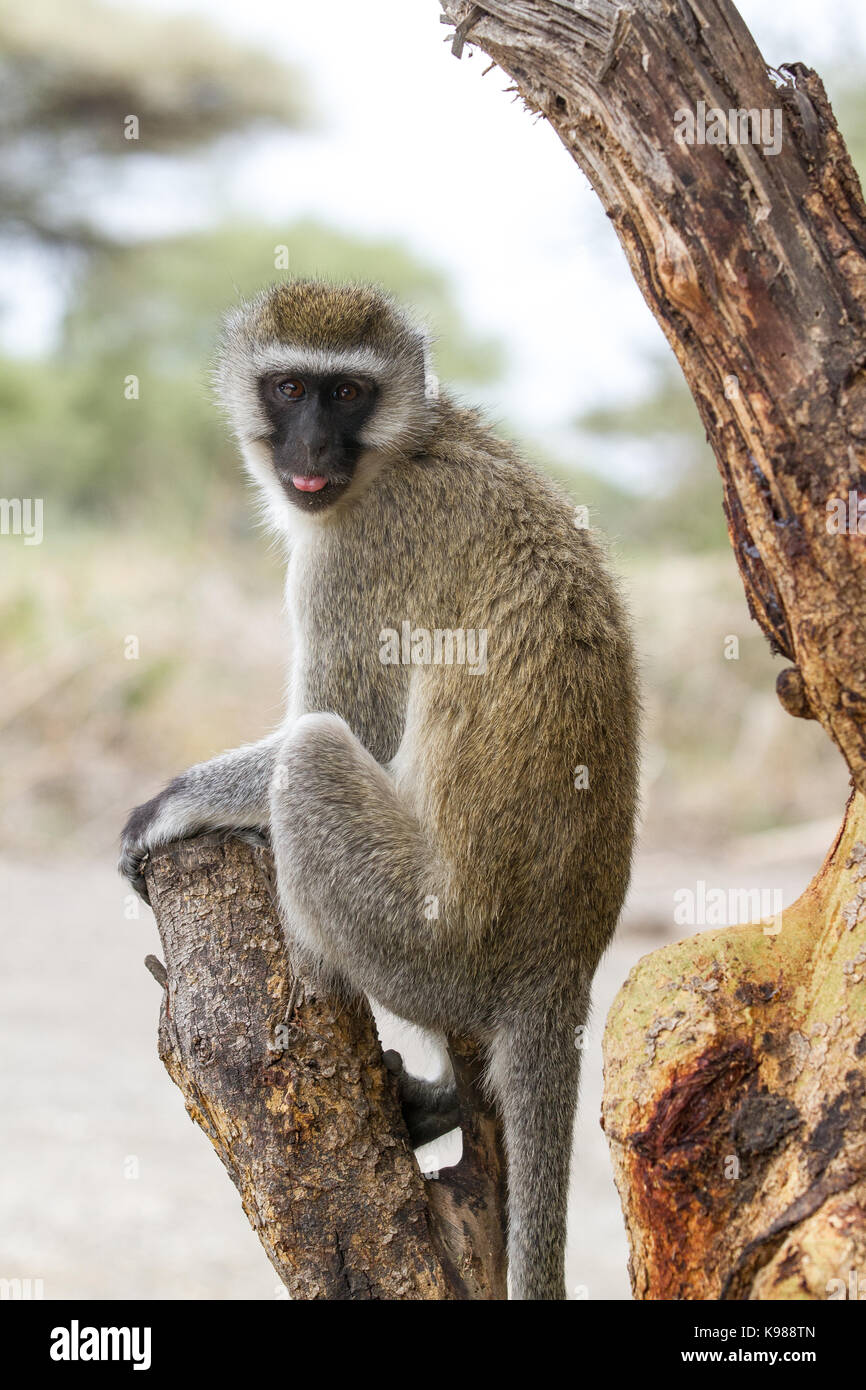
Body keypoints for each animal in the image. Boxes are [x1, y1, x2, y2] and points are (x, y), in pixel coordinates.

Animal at [120, 279, 639, 1301]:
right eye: (291, 387)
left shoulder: (355, 560)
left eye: (347, 395)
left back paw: (315, 980)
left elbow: (348, 723)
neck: (405, 447)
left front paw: (172, 804)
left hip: (428, 937)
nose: (312, 451)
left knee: (312, 757)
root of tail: (563, 961)